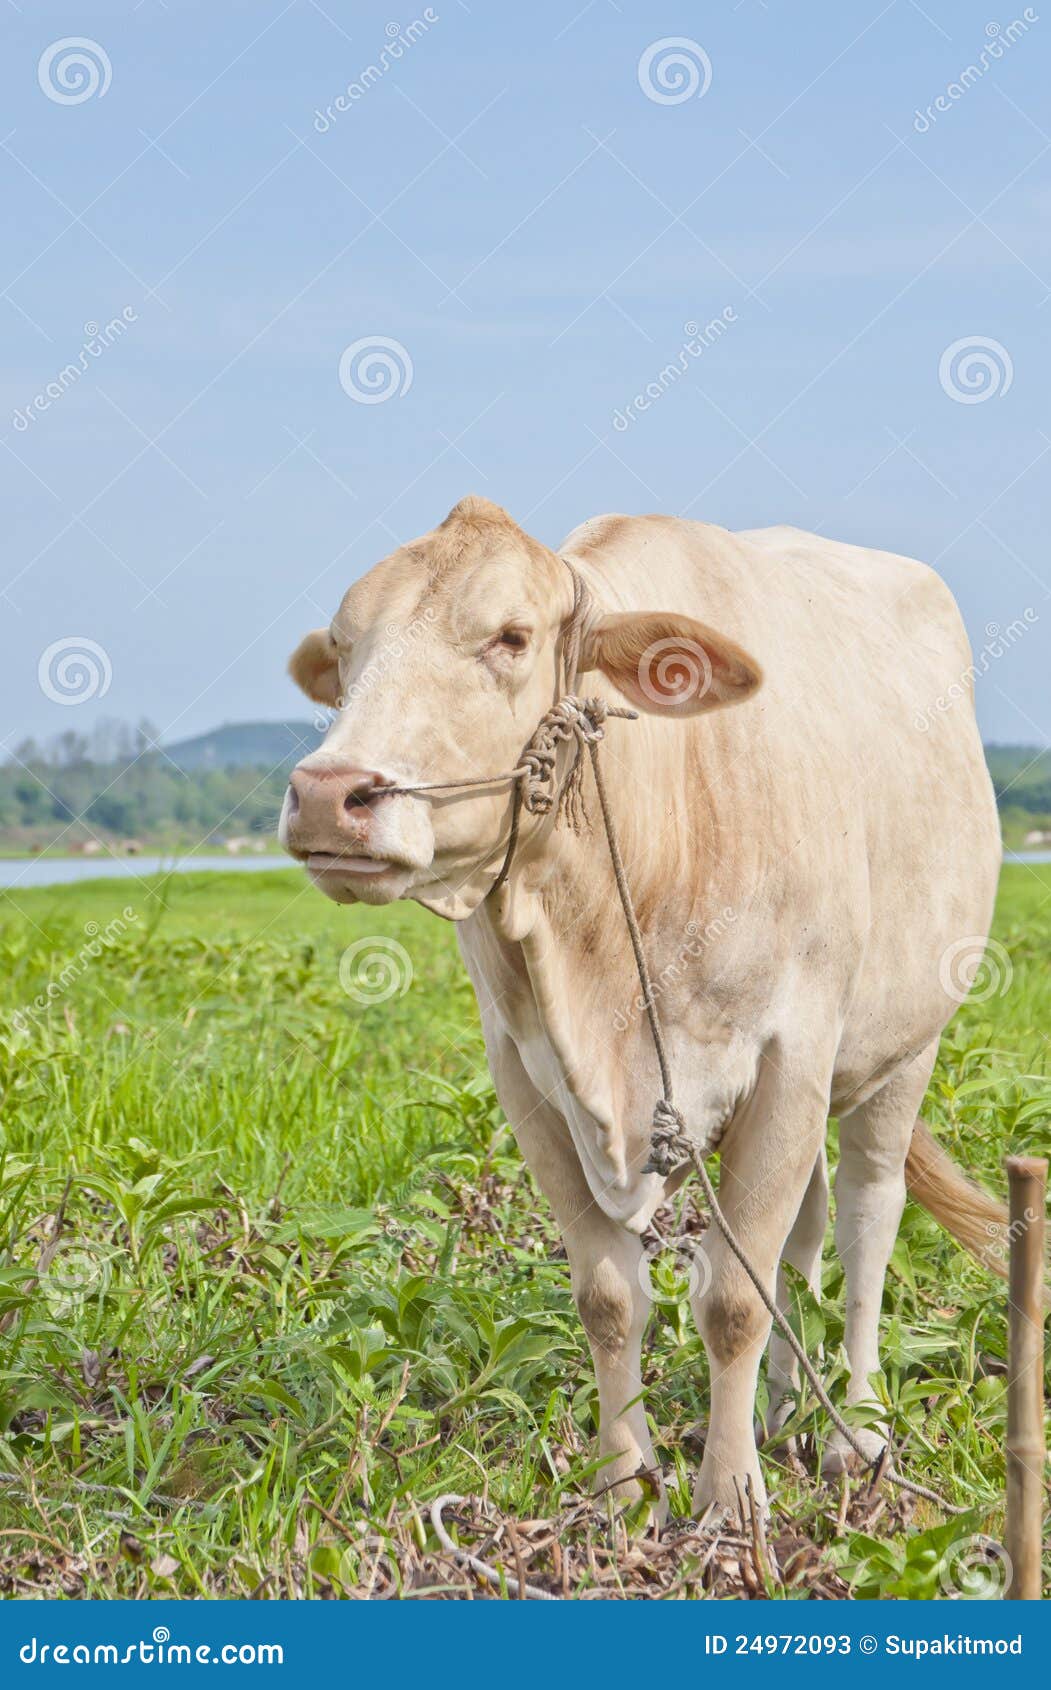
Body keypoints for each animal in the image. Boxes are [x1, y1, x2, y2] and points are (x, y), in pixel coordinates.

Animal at [280, 495, 1004, 1518]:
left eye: (511, 636)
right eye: (344, 648)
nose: (327, 794)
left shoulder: (788, 1056)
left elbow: (732, 1299)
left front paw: (729, 1498)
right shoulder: (529, 1078)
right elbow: (610, 1296)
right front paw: (624, 1484)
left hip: (905, 1050)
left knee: (866, 1221)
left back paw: (853, 1431)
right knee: (808, 1233)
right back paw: (786, 1409)